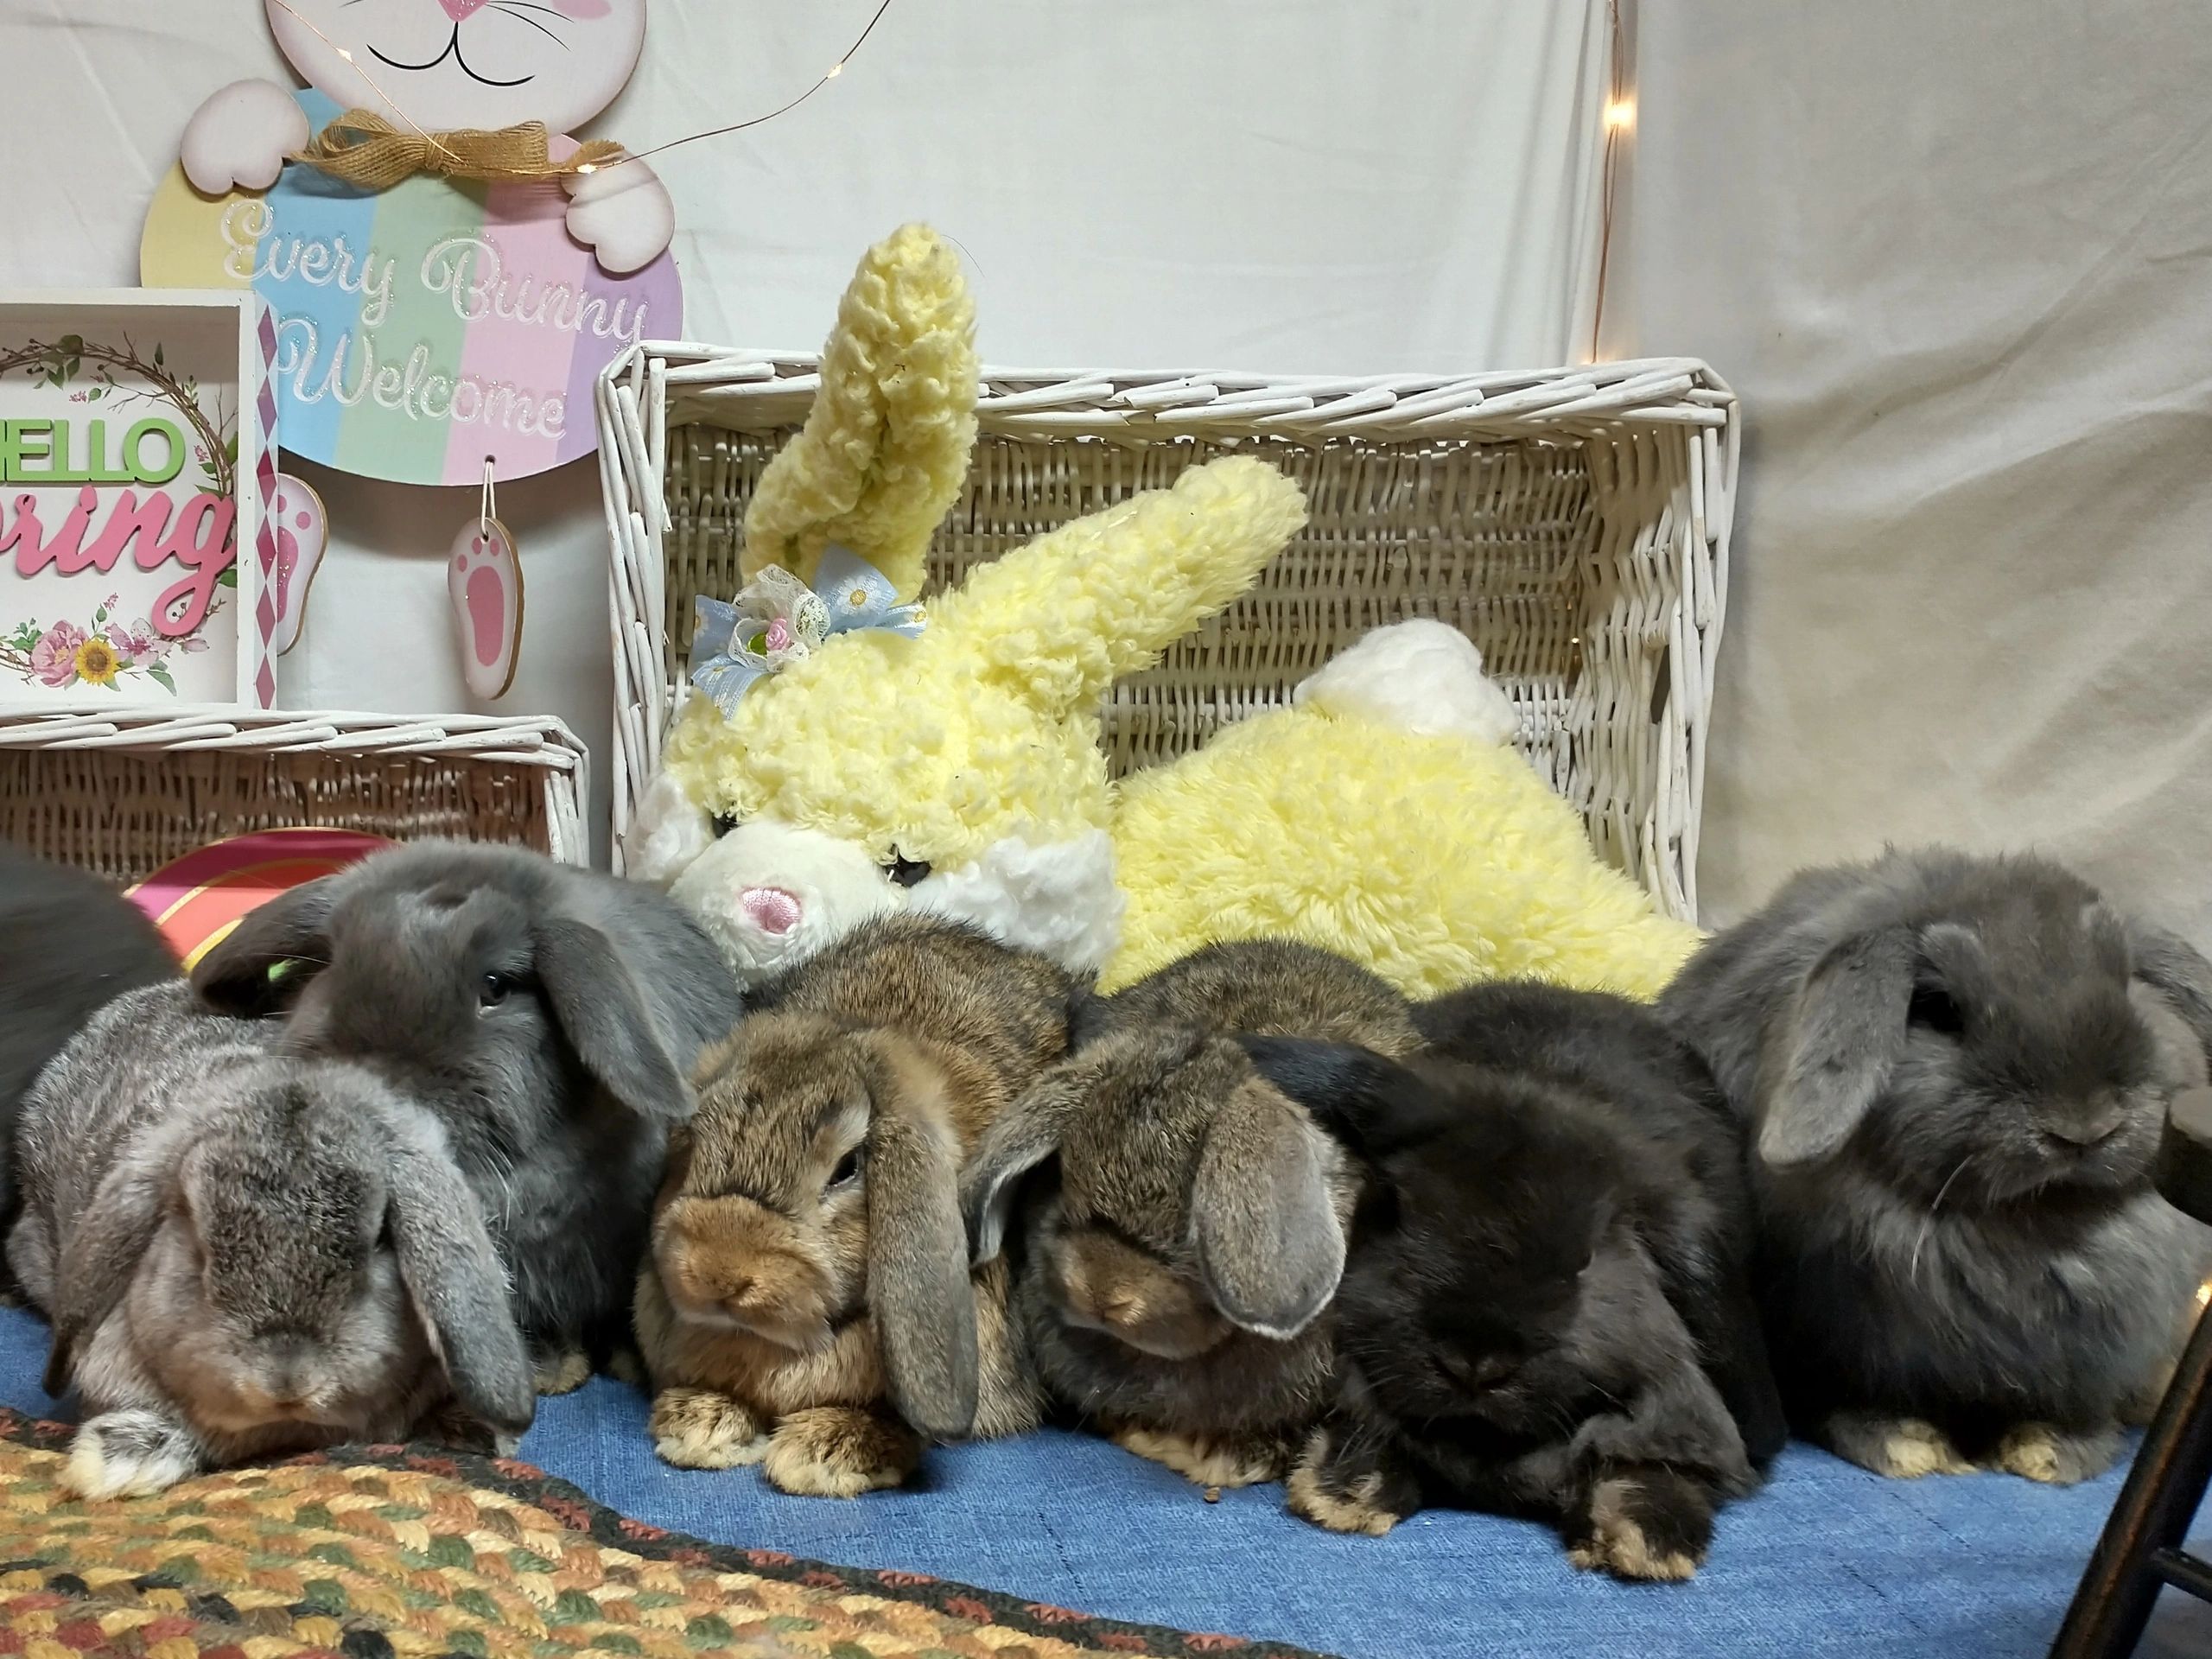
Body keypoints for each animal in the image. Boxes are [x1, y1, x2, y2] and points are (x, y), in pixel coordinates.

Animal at [1239, 980, 1783, 1580]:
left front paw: (1649, 1545)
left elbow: (1659, 1463)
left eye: (1587, 1259)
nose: (1474, 1362)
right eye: (1399, 1211)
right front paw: (1342, 1496)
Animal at [1660, 847, 2212, 1484]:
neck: (2032, 1227)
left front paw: (2049, 1456)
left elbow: (2078, 1413)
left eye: (2127, 982)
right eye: (1941, 1011)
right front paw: (1909, 1449)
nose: (2083, 1126)